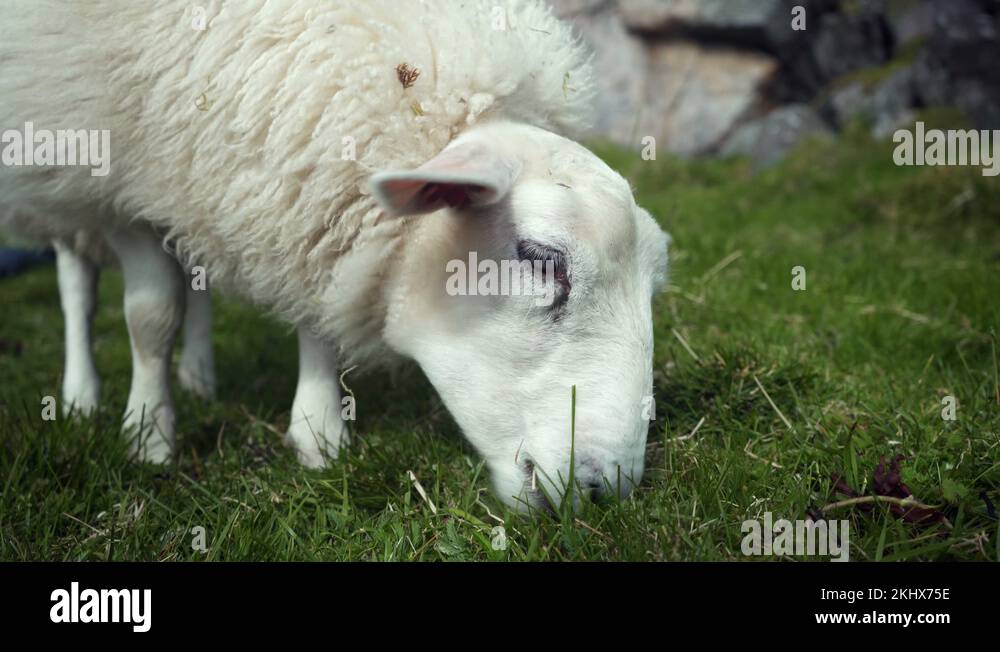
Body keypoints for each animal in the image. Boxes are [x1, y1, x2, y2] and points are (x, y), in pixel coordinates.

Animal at [0, 0, 671, 511]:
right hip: (66, 159)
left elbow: (315, 318)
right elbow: (149, 318)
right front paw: (149, 437)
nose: (607, 491)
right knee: (77, 285)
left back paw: (198, 376)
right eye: (540, 258)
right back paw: (82, 395)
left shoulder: (295, 204)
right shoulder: (129, 184)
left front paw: (317, 435)